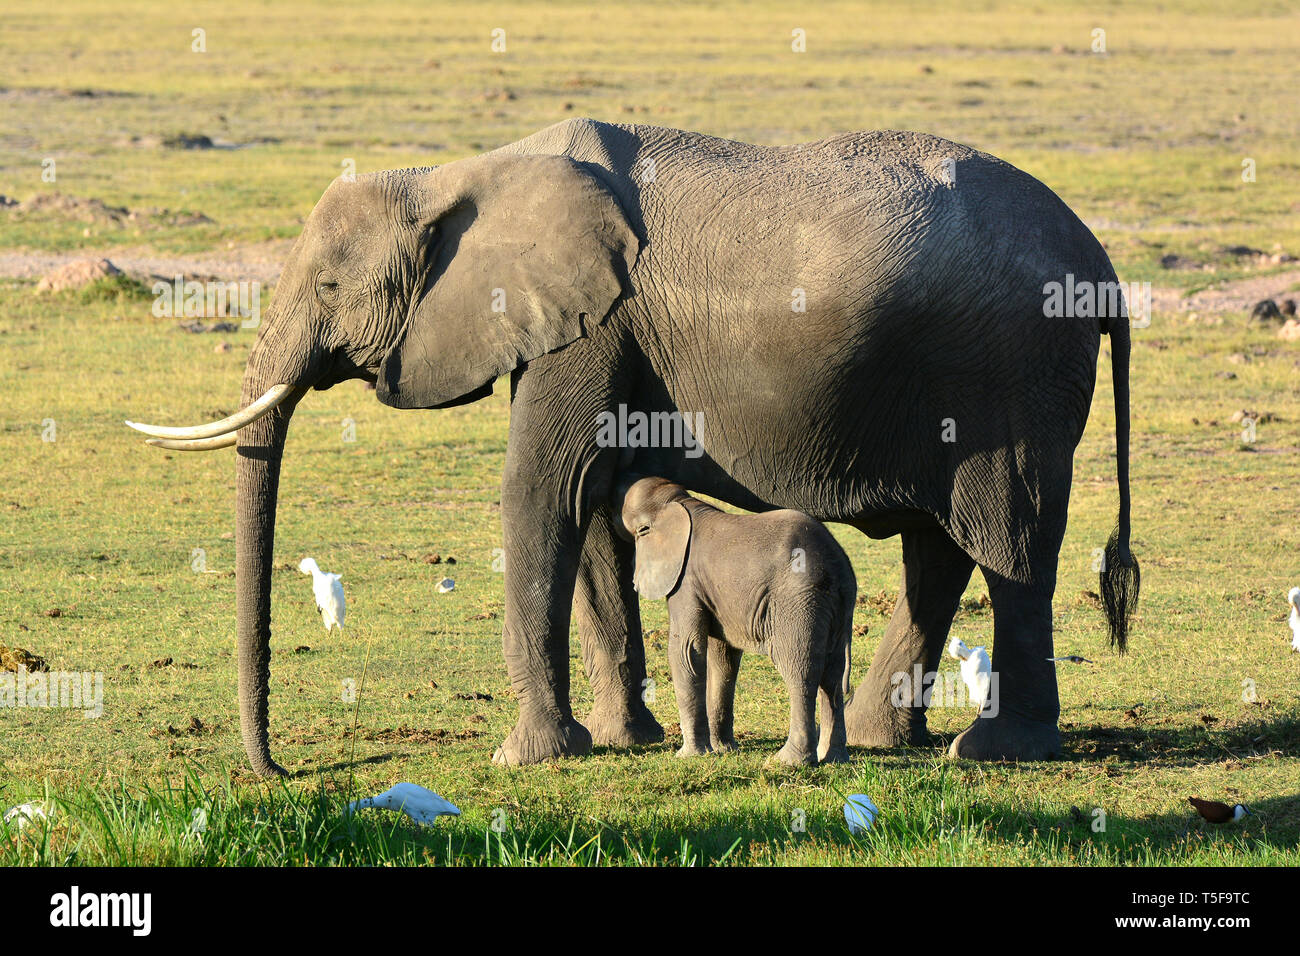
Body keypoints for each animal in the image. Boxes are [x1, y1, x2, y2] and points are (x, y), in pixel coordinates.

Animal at [617, 476, 854, 765]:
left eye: (640, 531)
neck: (681, 501)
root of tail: (839, 564)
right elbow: (724, 657)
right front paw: (724, 750)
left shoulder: (685, 580)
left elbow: (686, 650)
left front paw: (688, 756)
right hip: (836, 607)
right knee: (832, 676)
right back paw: (833, 758)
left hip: (800, 601)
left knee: (800, 670)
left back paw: (786, 761)